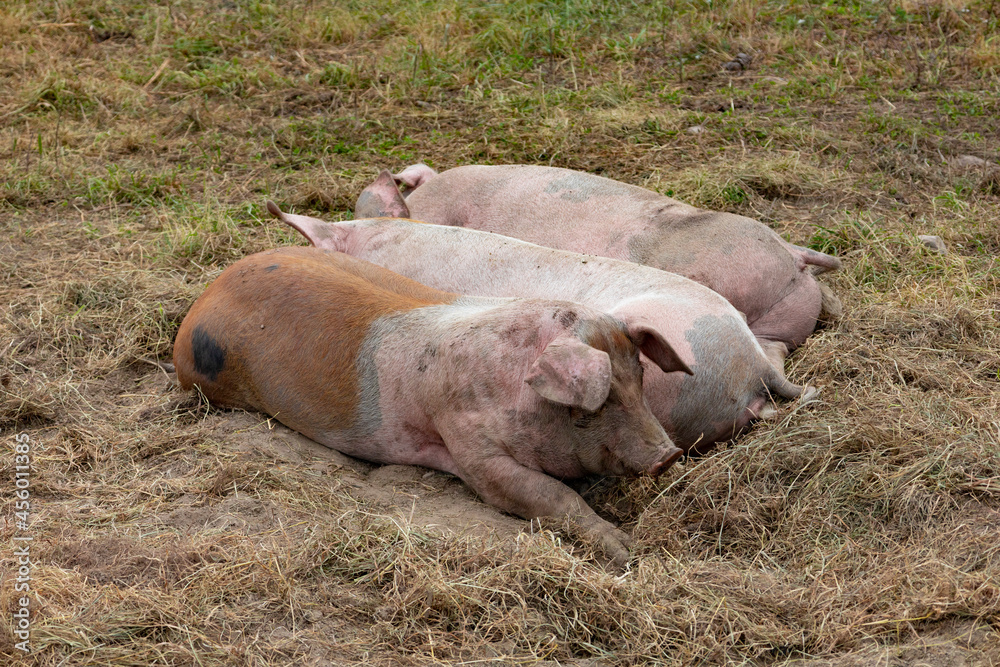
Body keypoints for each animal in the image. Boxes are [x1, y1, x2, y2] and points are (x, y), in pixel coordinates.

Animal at [174, 246, 689, 565]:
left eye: (640, 378)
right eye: (593, 405)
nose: (669, 456)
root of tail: (208, 292)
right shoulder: (468, 443)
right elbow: (549, 494)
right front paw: (626, 550)